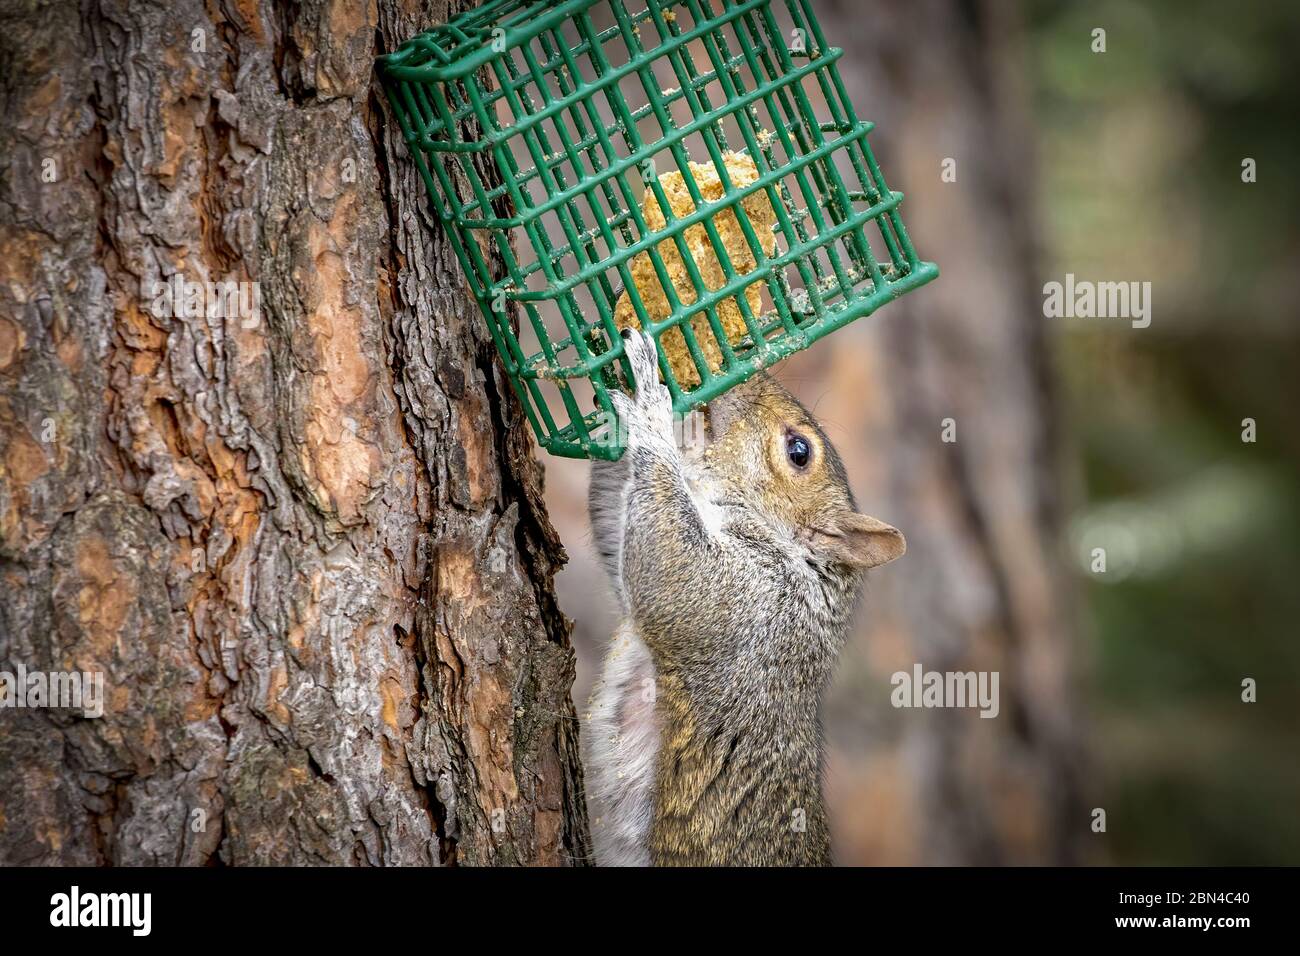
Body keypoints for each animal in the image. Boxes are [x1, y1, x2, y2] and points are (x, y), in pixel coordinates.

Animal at [585, 329, 906, 866]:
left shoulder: (749, 603)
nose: (749, 376)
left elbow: (665, 570)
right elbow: (614, 533)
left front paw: (652, 412)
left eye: (799, 451)